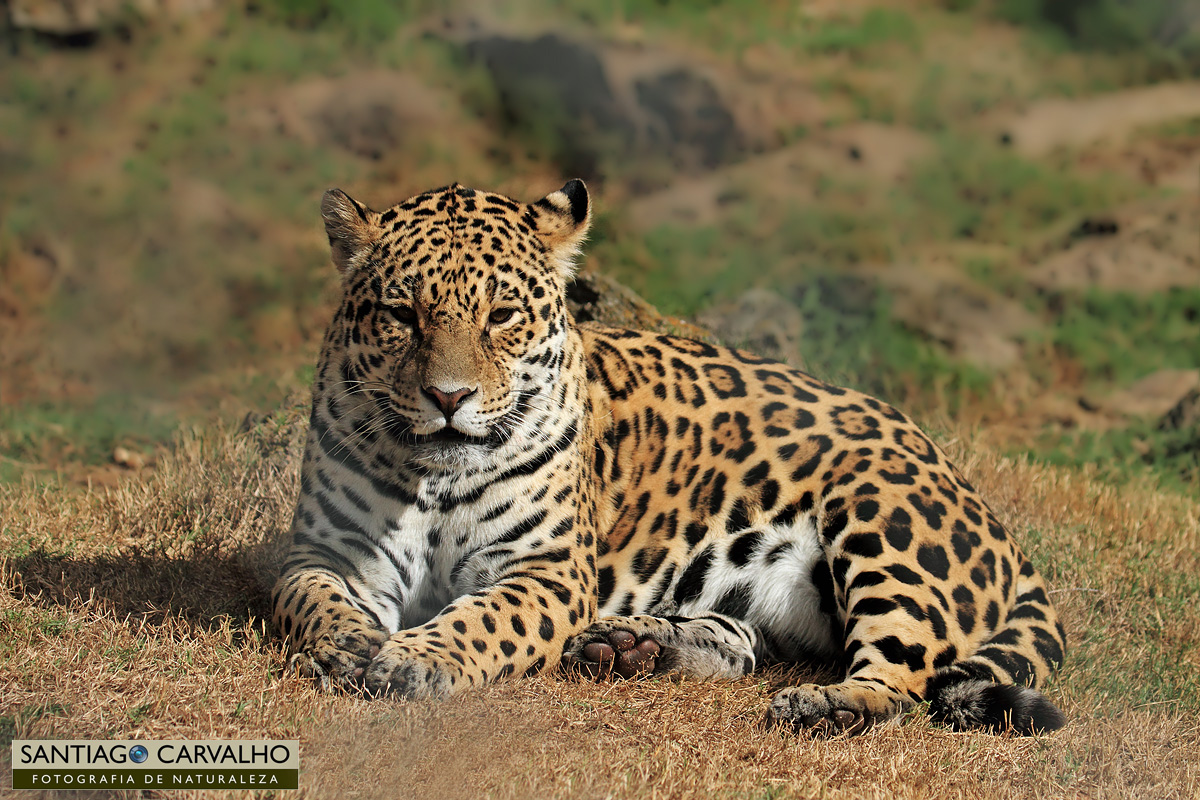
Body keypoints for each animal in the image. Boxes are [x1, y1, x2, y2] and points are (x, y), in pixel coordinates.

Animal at [272, 178, 1067, 735]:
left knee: (900, 680)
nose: (448, 396)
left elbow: (482, 621)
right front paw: (349, 644)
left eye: (501, 316)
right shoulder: (326, 551)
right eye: (401, 315)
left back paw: (824, 706)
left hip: (878, 516)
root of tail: (977, 500)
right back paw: (633, 644)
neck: (434, 480)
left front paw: (413, 659)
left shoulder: (545, 571)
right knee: (749, 644)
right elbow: (307, 599)